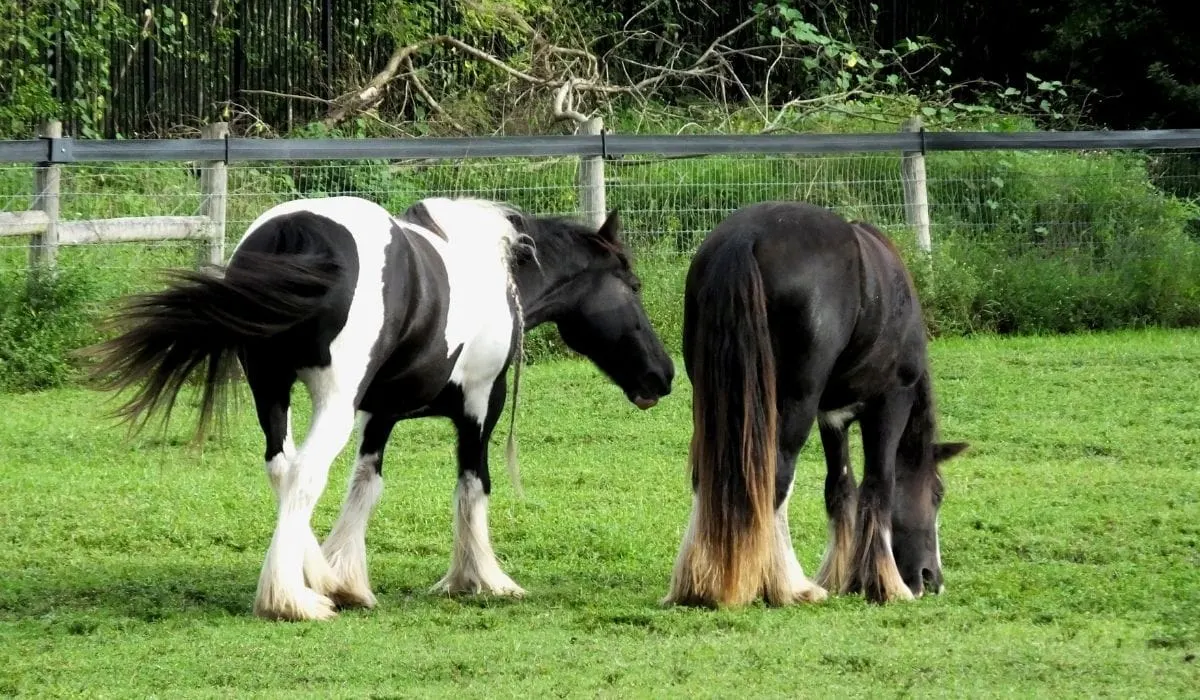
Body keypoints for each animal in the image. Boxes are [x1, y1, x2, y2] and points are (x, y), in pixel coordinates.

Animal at [85, 195, 675, 621]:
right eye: (634, 285)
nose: (662, 375)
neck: (502, 271)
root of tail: (293, 234)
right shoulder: (481, 404)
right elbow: (473, 485)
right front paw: (480, 579)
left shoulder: (381, 413)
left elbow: (365, 485)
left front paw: (344, 577)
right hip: (332, 401)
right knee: (305, 474)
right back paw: (291, 600)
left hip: (270, 390)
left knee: (281, 468)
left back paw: (312, 579)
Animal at [664, 201, 968, 608]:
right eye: (937, 493)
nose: (930, 578)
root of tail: (745, 237)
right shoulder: (890, 402)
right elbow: (879, 485)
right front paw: (887, 585)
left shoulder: (832, 418)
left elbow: (839, 488)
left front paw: (845, 577)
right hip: (796, 403)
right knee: (776, 477)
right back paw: (787, 586)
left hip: (715, 402)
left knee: (707, 477)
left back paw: (697, 584)